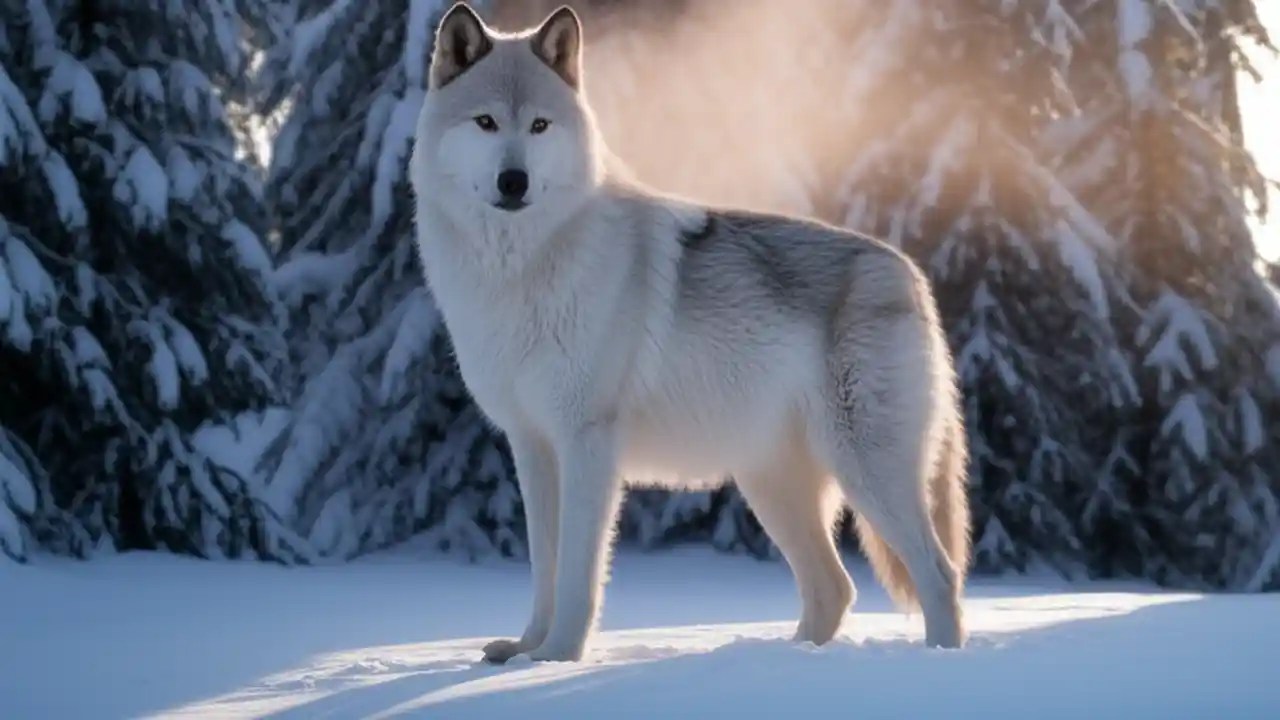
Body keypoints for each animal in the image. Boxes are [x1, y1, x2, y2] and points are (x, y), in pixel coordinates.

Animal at [410, 3, 972, 663]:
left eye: (541, 125)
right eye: (487, 122)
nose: (514, 181)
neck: (520, 267)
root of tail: (910, 273)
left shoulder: (587, 443)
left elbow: (576, 571)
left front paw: (558, 657)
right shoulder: (533, 445)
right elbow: (543, 566)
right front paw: (525, 650)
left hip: (868, 472)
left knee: (938, 575)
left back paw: (938, 659)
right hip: (771, 485)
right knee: (835, 588)